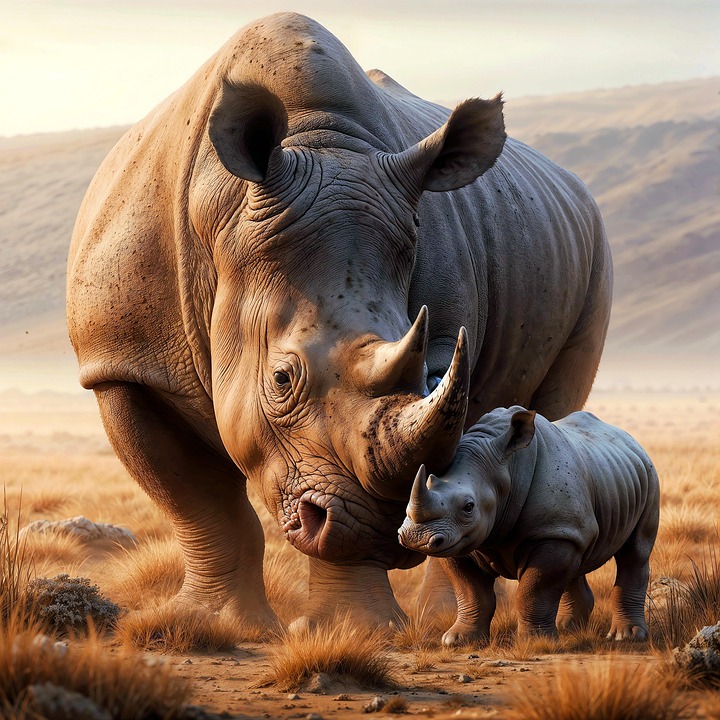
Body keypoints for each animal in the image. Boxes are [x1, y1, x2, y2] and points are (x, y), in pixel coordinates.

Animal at [67, 13, 612, 630]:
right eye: (281, 380)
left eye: (436, 376)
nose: (379, 527)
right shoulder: (124, 364)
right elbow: (200, 503)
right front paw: (216, 624)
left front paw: (353, 627)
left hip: (593, 251)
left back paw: (439, 619)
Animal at [398, 408, 659, 644]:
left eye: (469, 507)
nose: (416, 538)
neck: (505, 471)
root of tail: (633, 442)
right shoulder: (461, 540)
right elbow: (471, 592)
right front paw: (458, 641)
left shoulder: (551, 532)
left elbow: (535, 590)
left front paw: (536, 643)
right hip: (600, 484)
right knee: (579, 555)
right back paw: (568, 630)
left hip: (649, 476)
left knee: (635, 553)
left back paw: (626, 637)